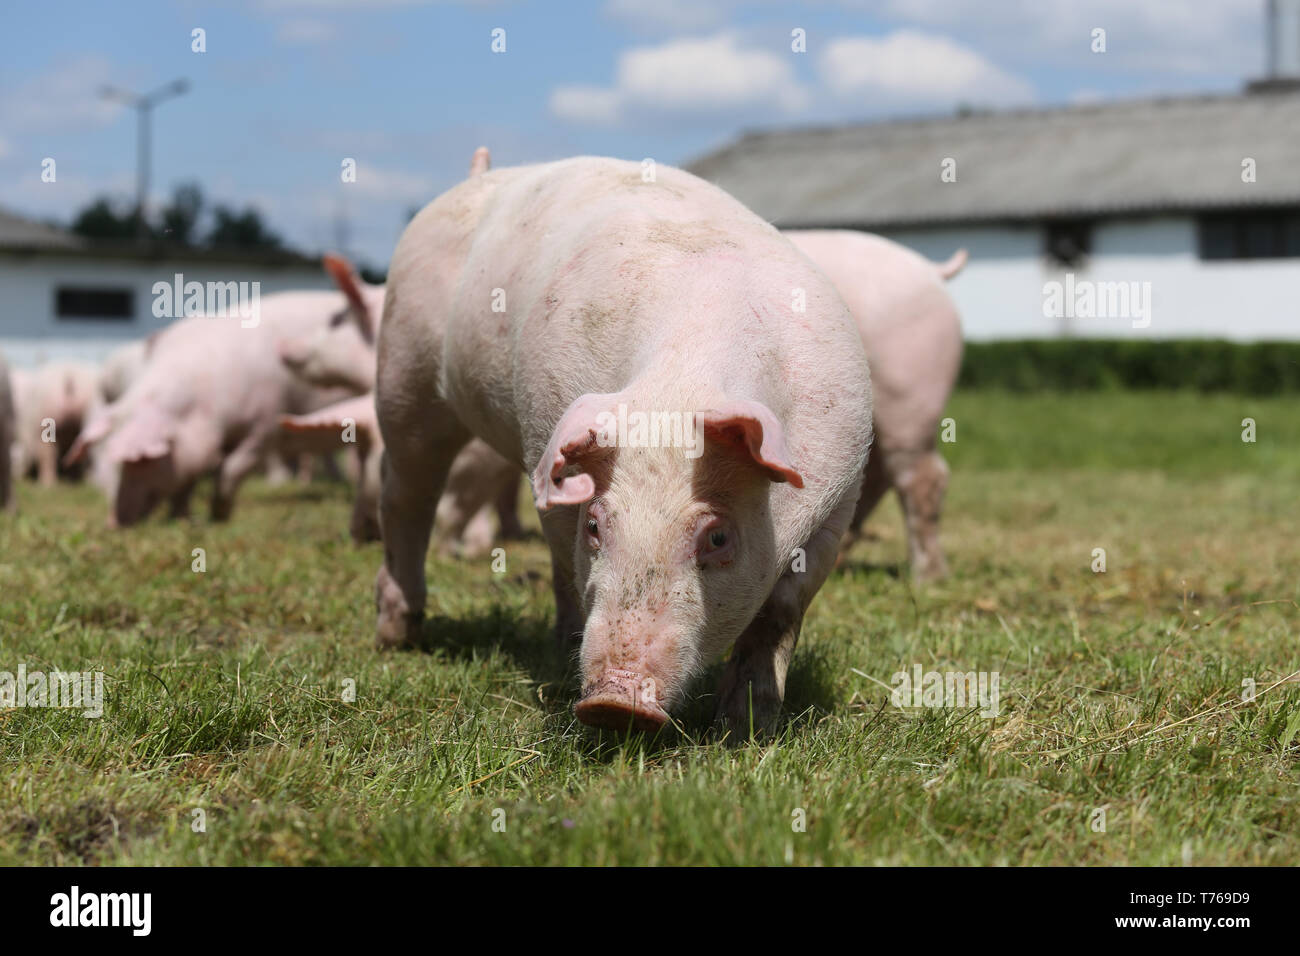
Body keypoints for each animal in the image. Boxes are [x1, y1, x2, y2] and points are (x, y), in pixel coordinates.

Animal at [66, 294, 353, 526]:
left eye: (142, 461)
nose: (113, 523)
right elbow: (187, 480)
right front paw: (180, 519)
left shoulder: (267, 422)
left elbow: (234, 466)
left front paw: (219, 515)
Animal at [374, 152, 873, 736]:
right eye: (596, 525)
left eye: (718, 537)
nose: (615, 701)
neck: (683, 380)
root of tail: (478, 177)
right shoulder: (547, 438)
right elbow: (571, 566)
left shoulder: (841, 492)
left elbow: (781, 612)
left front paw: (745, 727)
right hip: (402, 364)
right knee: (406, 496)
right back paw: (398, 637)